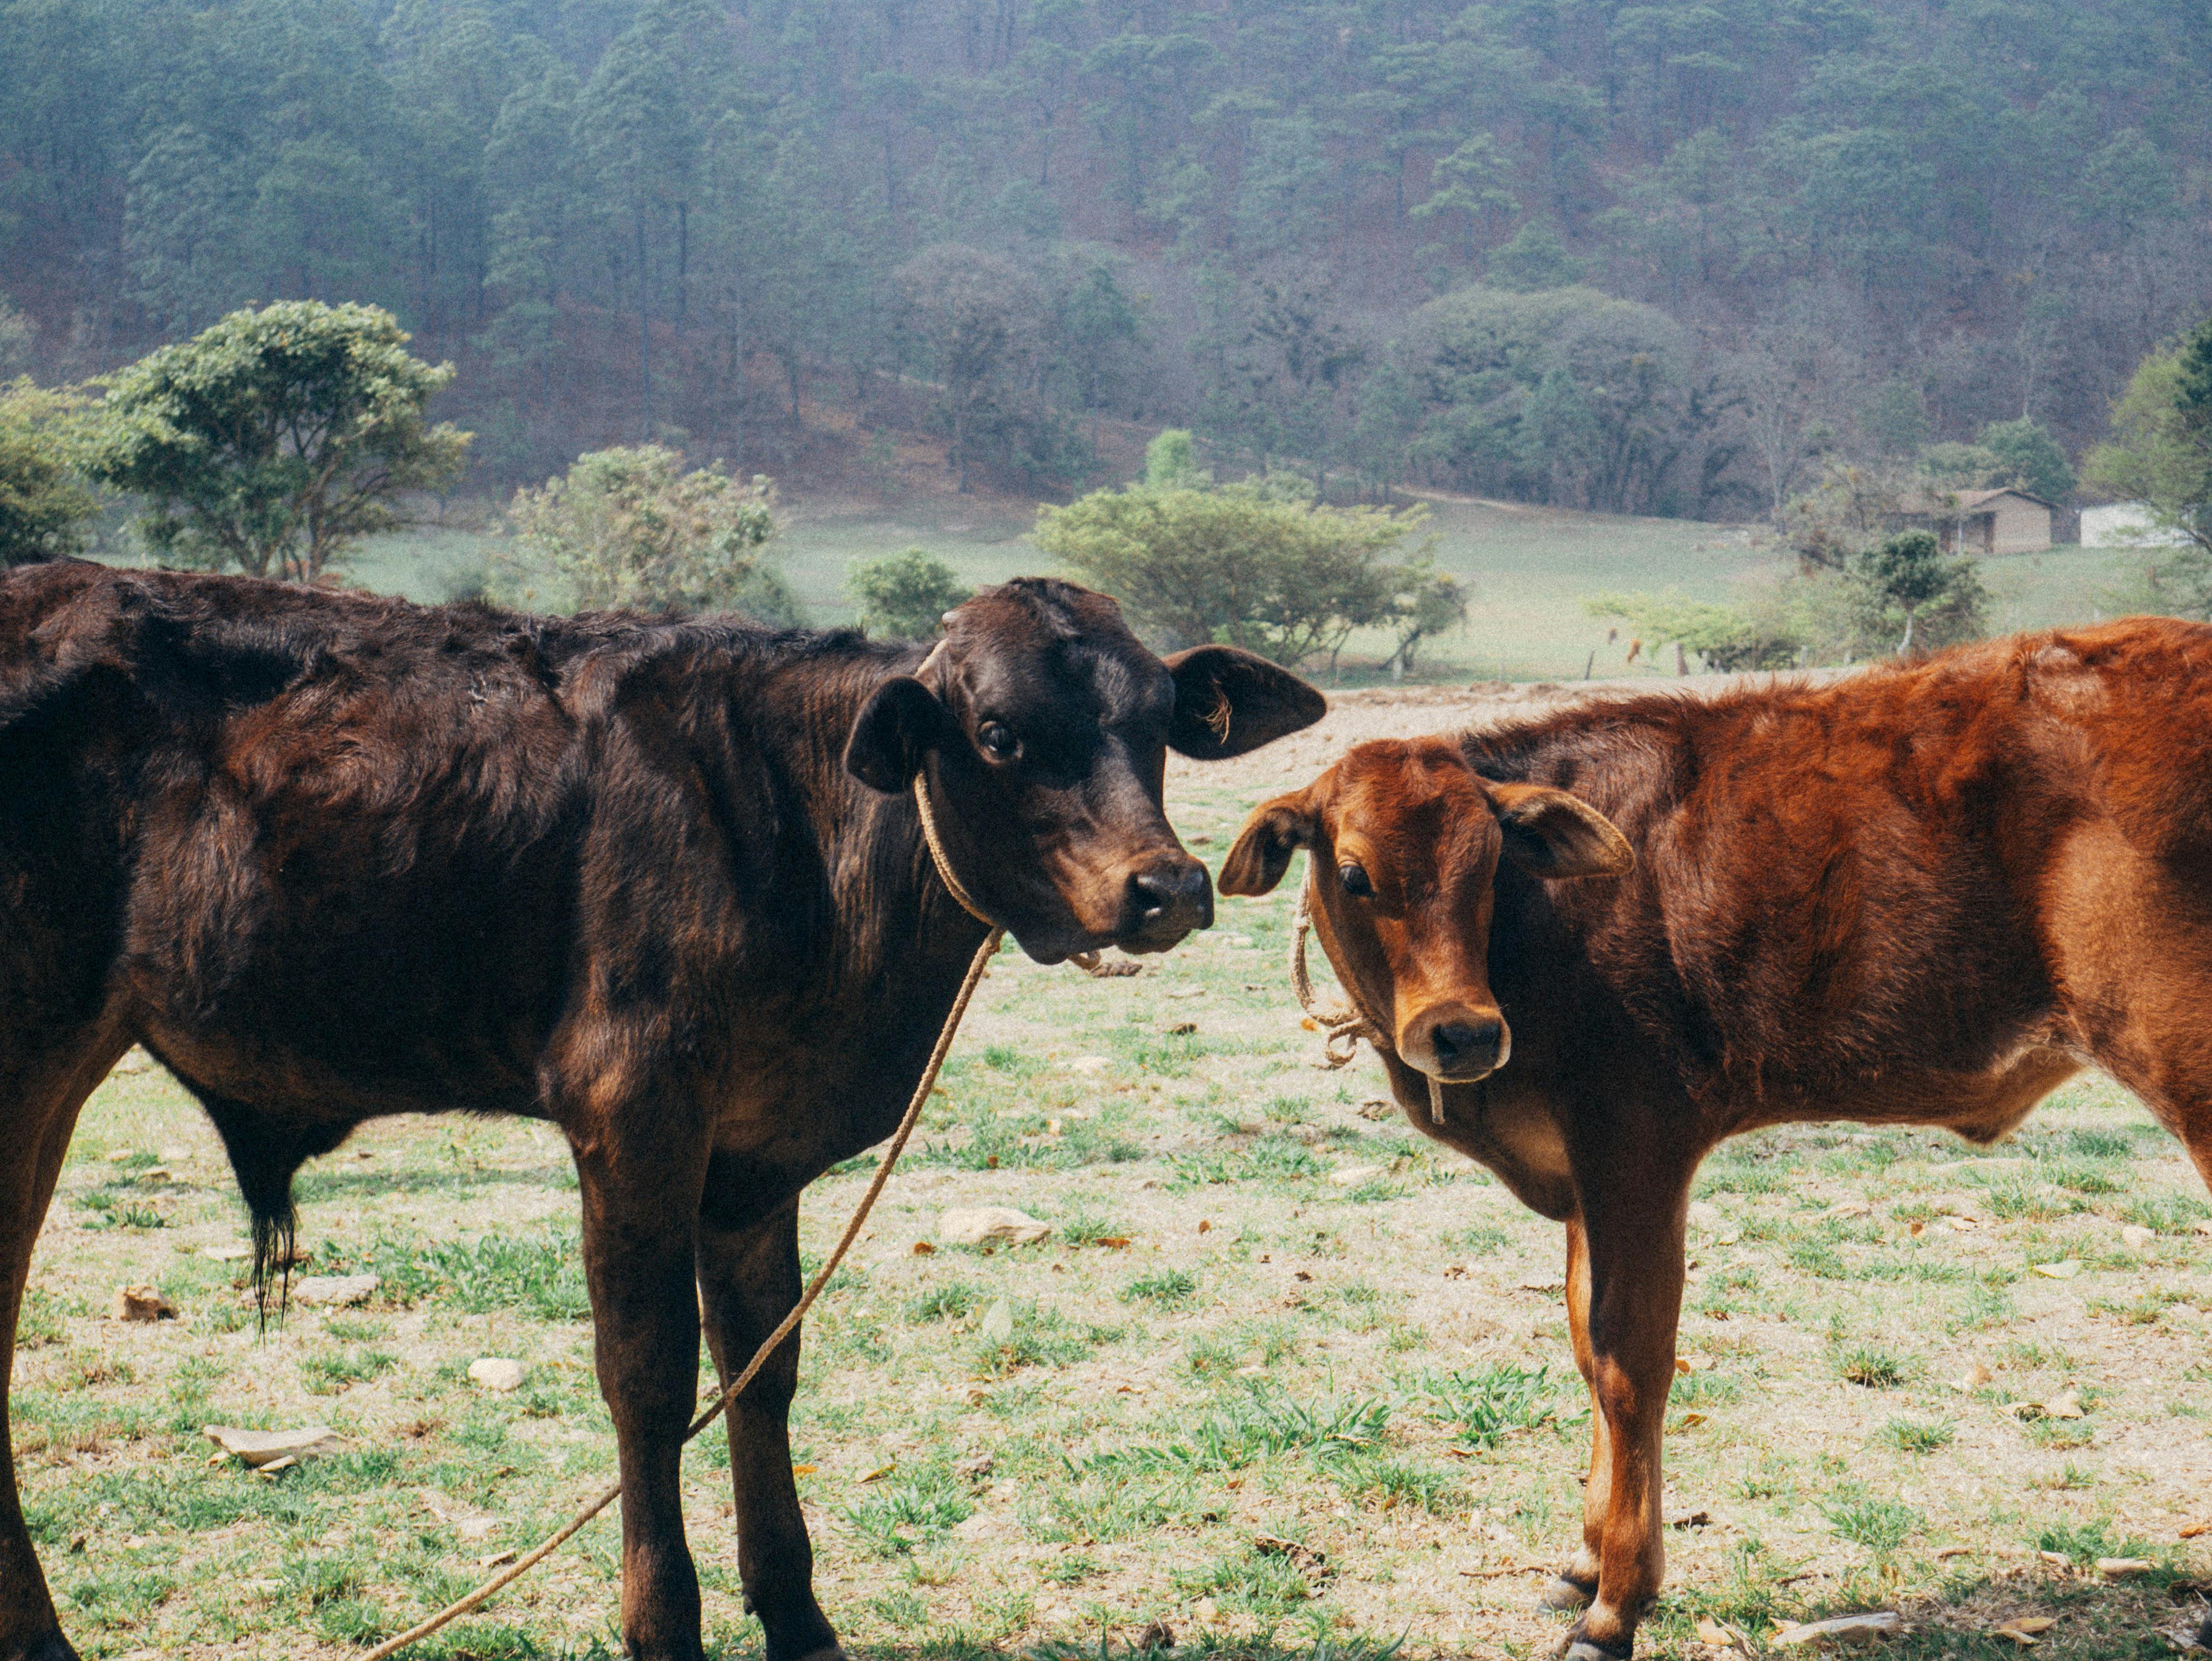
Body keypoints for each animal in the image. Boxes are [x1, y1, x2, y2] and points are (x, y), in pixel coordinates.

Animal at [0, 561, 1325, 1661]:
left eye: (1157, 722)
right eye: (1000, 732)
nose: (1166, 888)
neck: (808, 825)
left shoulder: (752, 1160)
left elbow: (763, 1365)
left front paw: (796, 1614)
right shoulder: (633, 1116)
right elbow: (648, 1378)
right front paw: (664, 1623)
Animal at [1218, 620, 2212, 1660]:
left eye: (1489, 861)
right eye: (1355, 871)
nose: (1462, 1032)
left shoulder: (1637, 1144)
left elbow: (1629, 1361)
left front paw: (1616, 1602)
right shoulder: (1586, 1180)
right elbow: (1584, 1342)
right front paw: (1584, 1565)